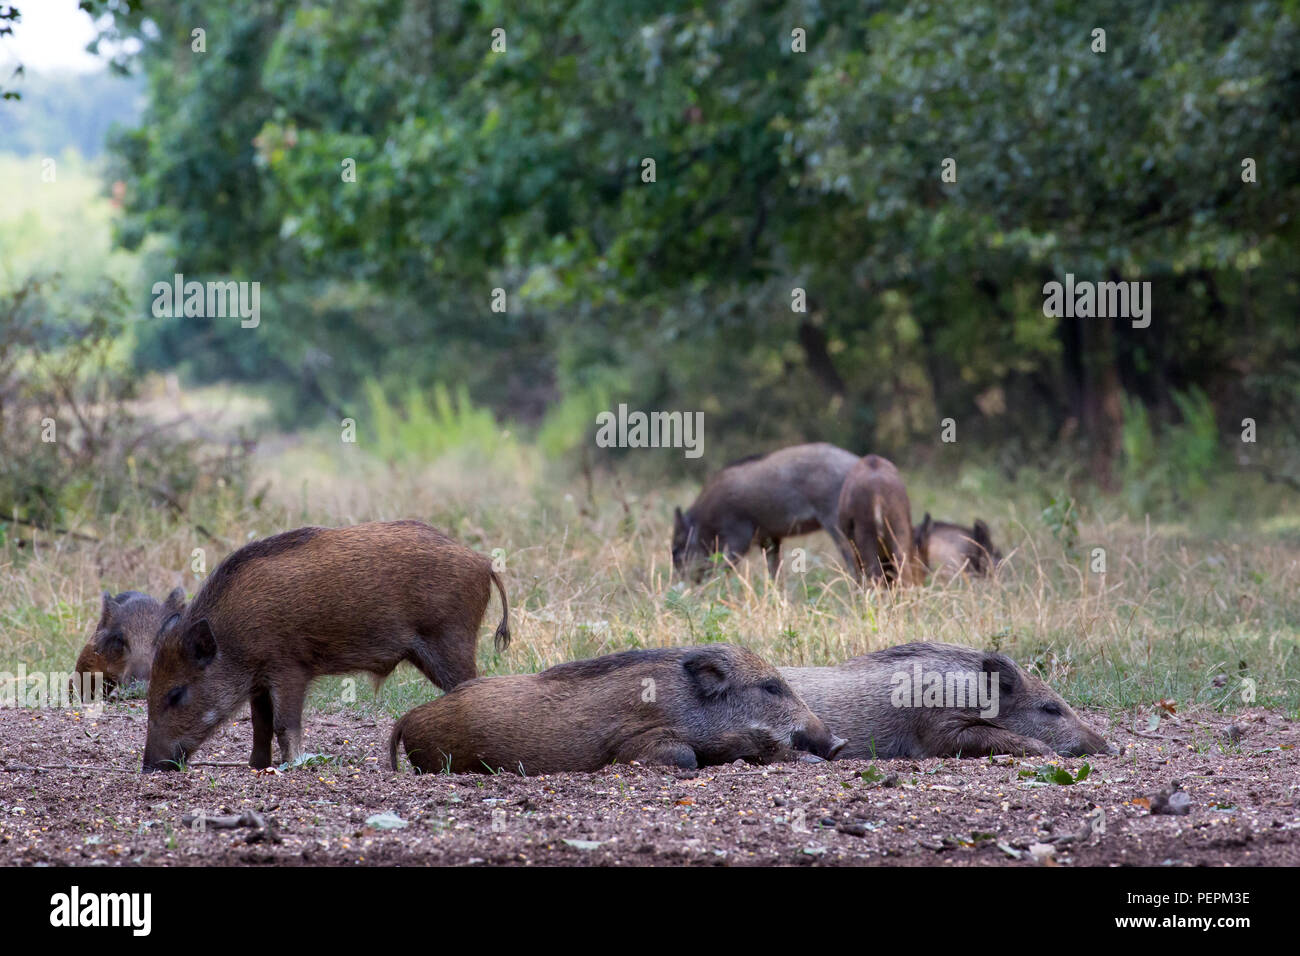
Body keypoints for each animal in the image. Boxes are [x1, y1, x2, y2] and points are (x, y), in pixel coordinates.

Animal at [143, 520, 510, 771]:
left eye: (176, 694)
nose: (149, 767)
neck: (231, 635)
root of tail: (483, 563)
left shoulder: (288, 667)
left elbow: (284, 724)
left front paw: (291, 765)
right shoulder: (258, 682)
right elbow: (260, 726)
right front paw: (258, 767)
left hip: (450, 642)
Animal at [672, 442, 860, 580]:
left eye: (676, 548)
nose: (682, 583)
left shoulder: (739, 536)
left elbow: (723, 567)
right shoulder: (769, 538)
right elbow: (773, 571)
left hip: (834, 522)